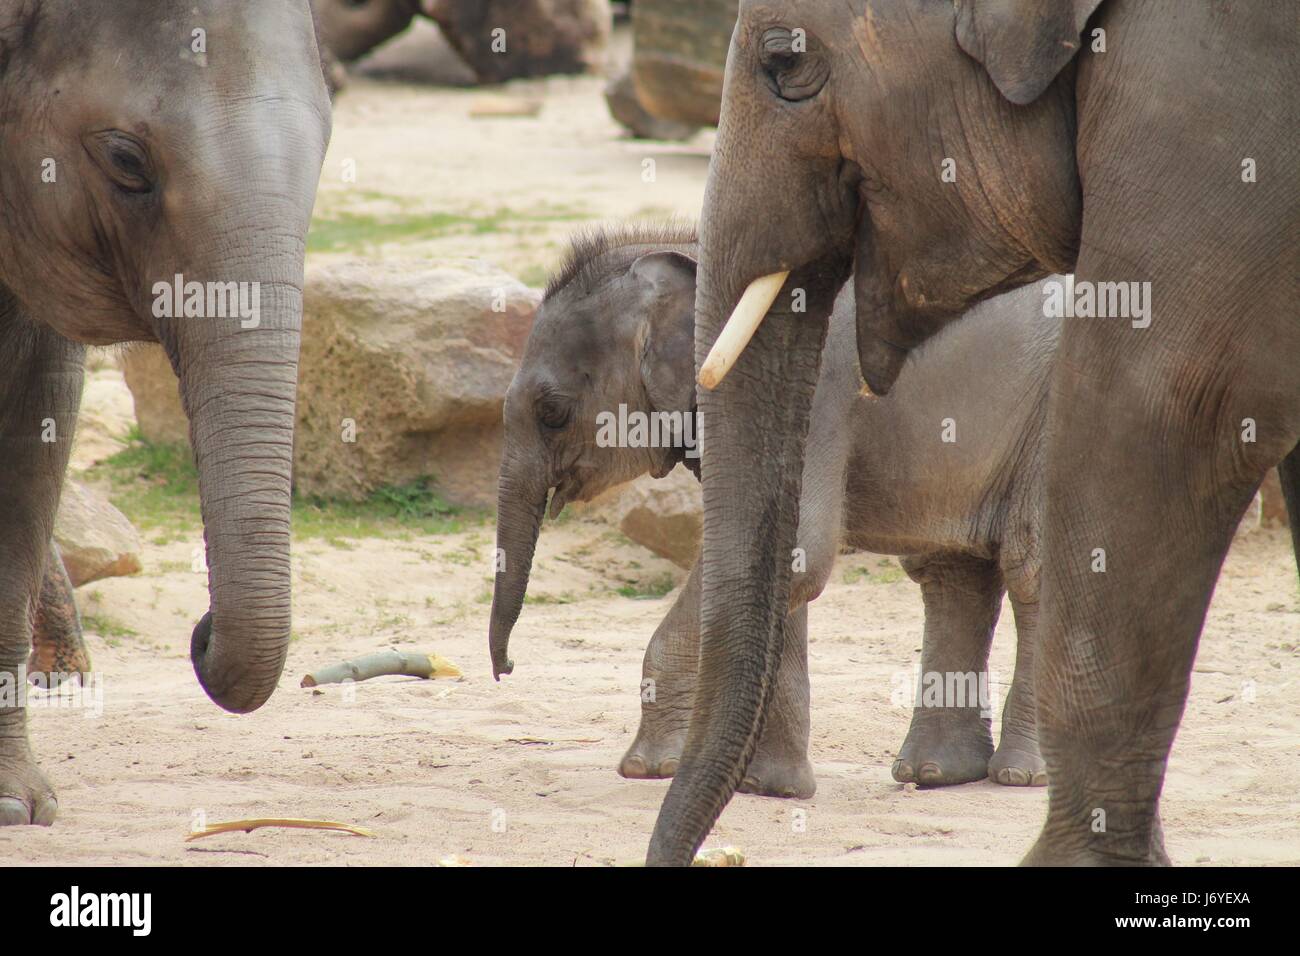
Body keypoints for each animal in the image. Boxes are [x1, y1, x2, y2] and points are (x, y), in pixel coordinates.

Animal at [489, 223, 1062, 796]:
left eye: (553, 412)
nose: (507, 667)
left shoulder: (812, 394)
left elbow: (791, 553)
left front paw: (650, 769)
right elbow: (778, 564)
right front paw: (770, 788)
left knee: (1030, 569)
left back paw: (1019, 776)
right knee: (951, 576)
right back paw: (936, 773)